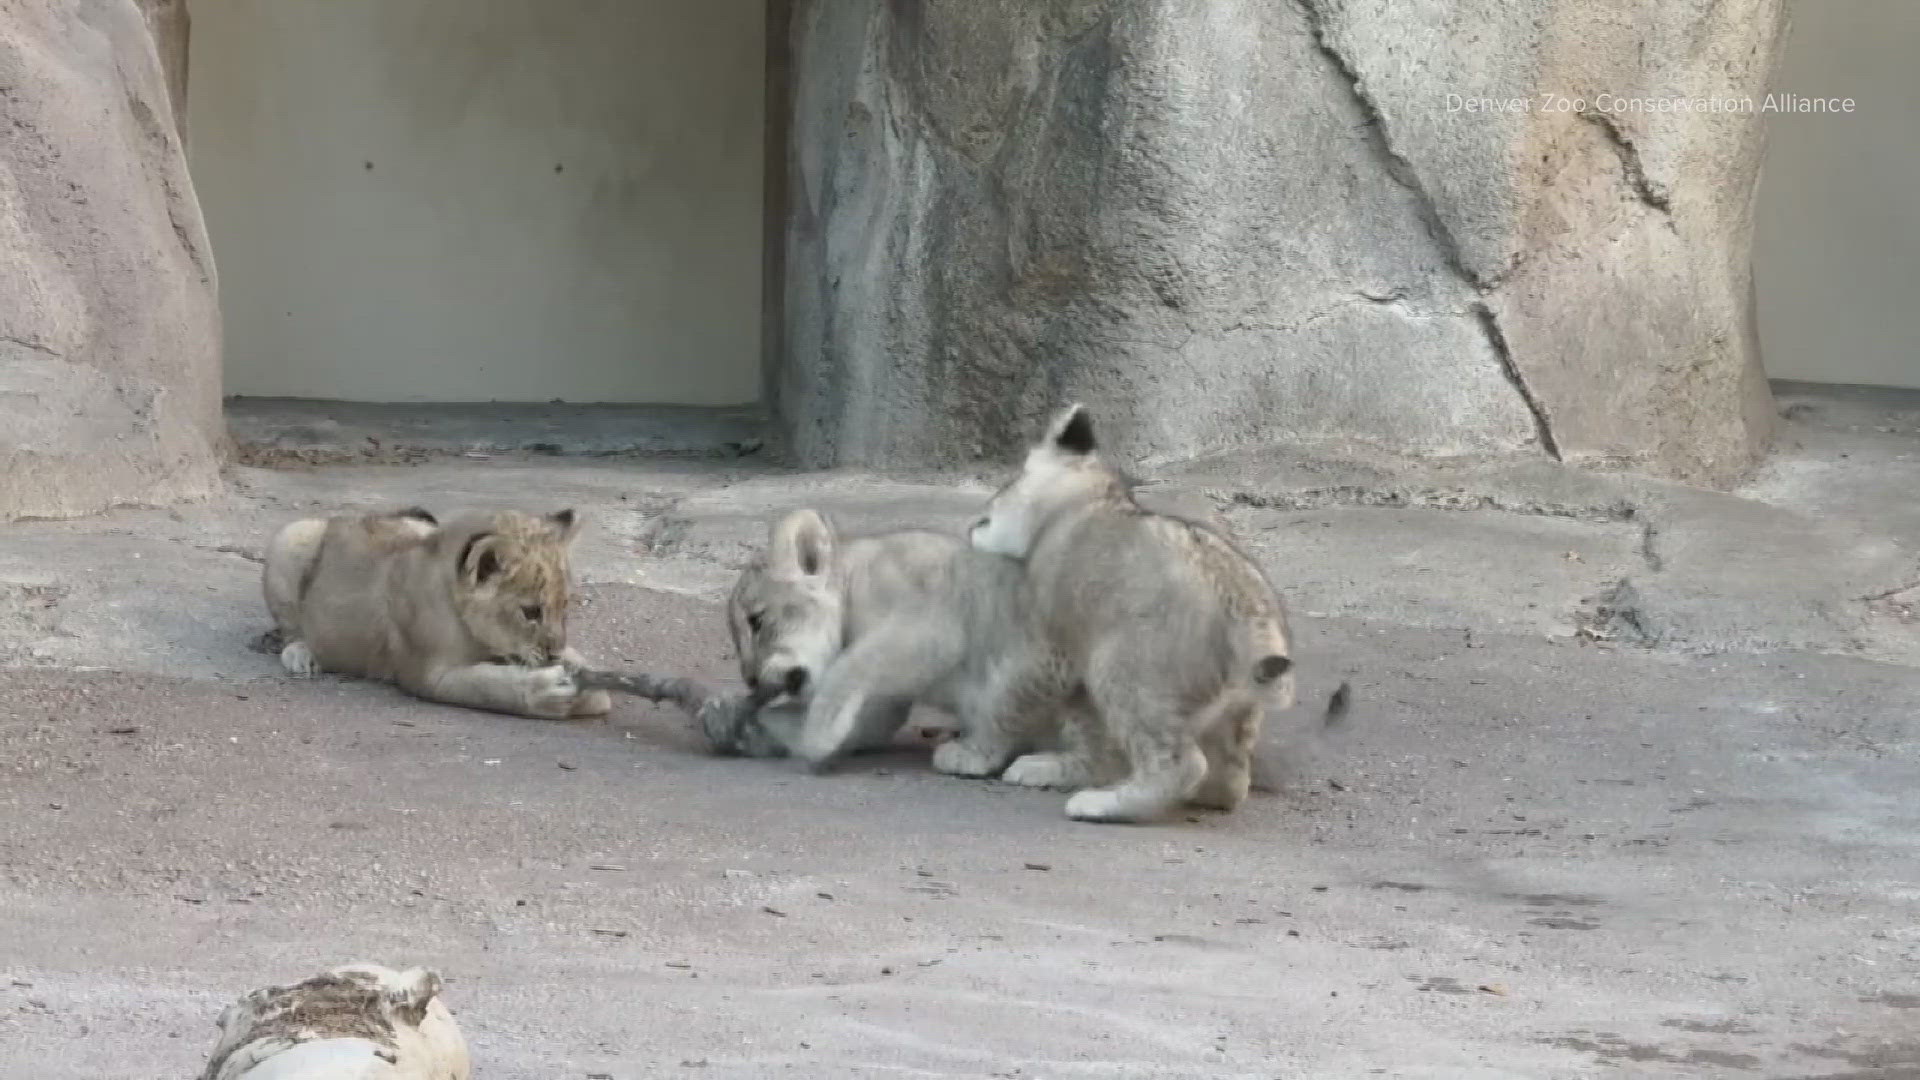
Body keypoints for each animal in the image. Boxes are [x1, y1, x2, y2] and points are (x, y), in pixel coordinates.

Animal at [260, 506, 611, 720]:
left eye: (564, 607)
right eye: (531, 612)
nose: (554, 655)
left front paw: (589, 681)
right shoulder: (428, 676)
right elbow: (491, 688)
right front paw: (550, 693)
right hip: (290, 537)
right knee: (291, 631)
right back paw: (301, 655)